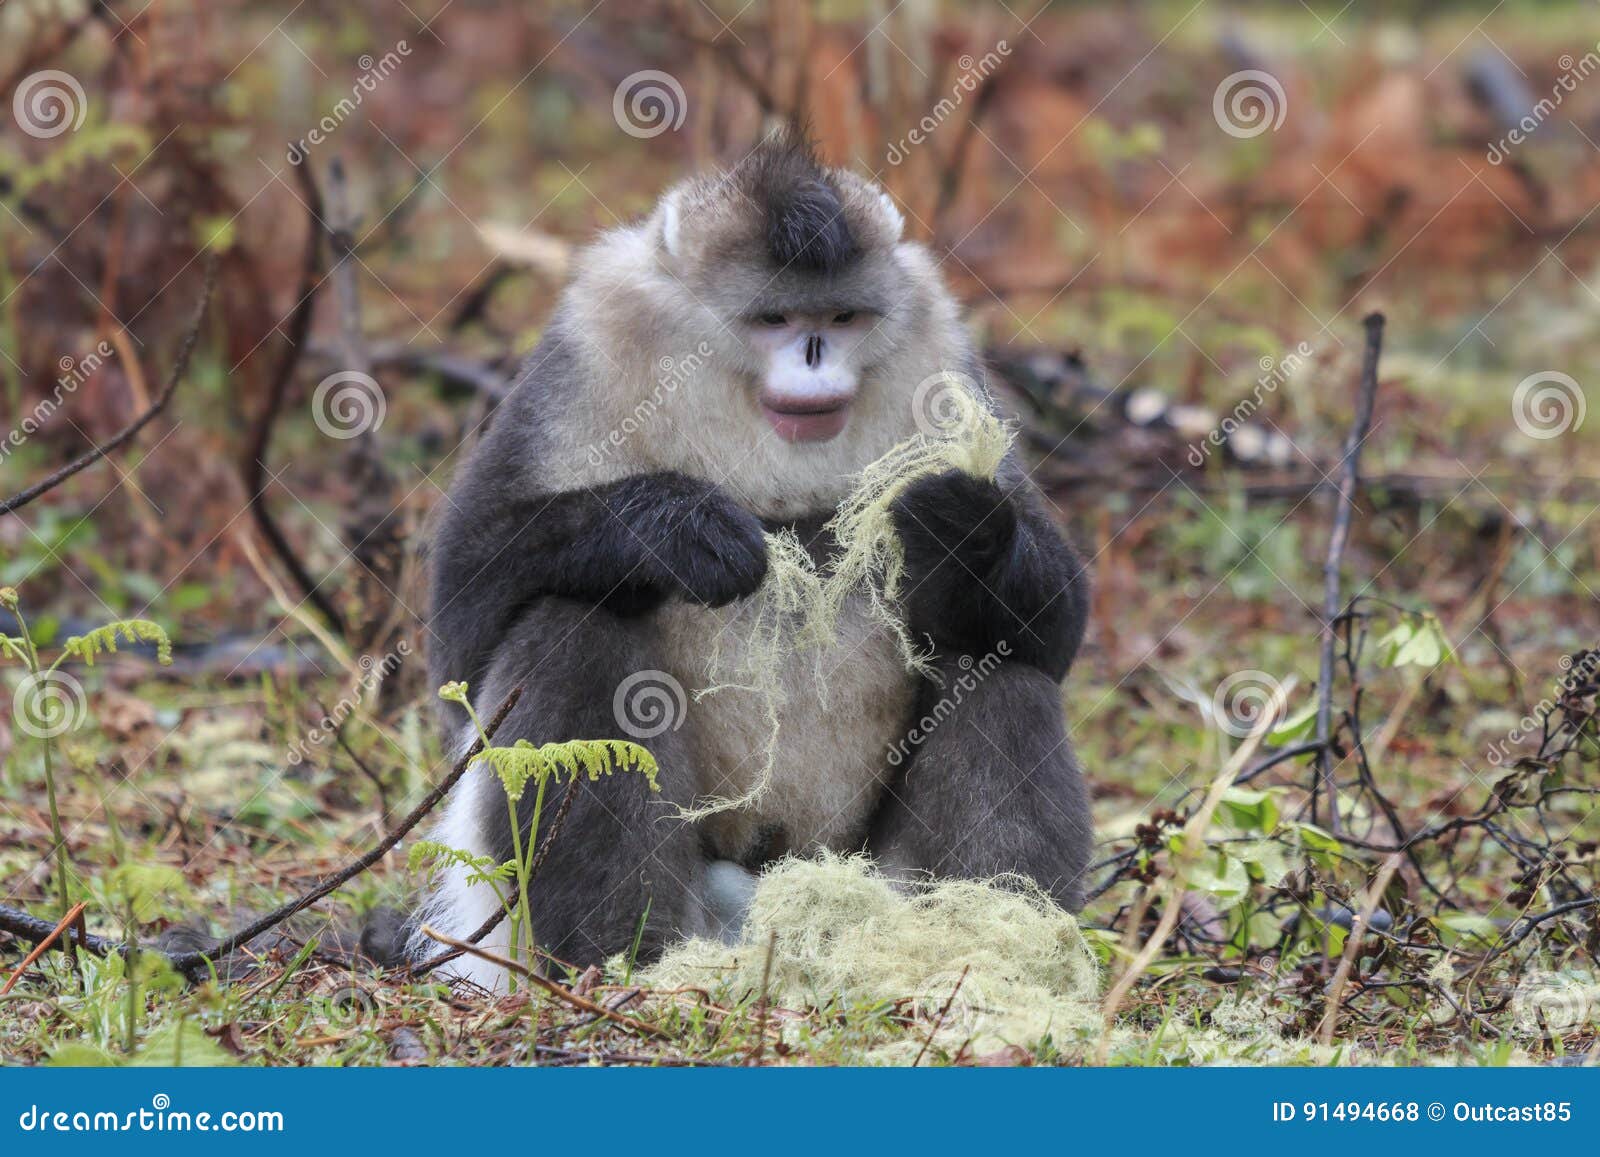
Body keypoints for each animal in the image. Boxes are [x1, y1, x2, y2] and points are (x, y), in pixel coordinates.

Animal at [407, 136, 1093, 989]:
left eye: (841, 316)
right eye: (775, 319)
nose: (814, 352)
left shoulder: (946, 361)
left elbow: (1060, 627)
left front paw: (961, 533)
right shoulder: (580, 359)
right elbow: (459, 625)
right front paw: (672, 529)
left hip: (876, 875)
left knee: (1002, 665)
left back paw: (986, 952)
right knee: (569, 628)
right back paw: (626, 961)